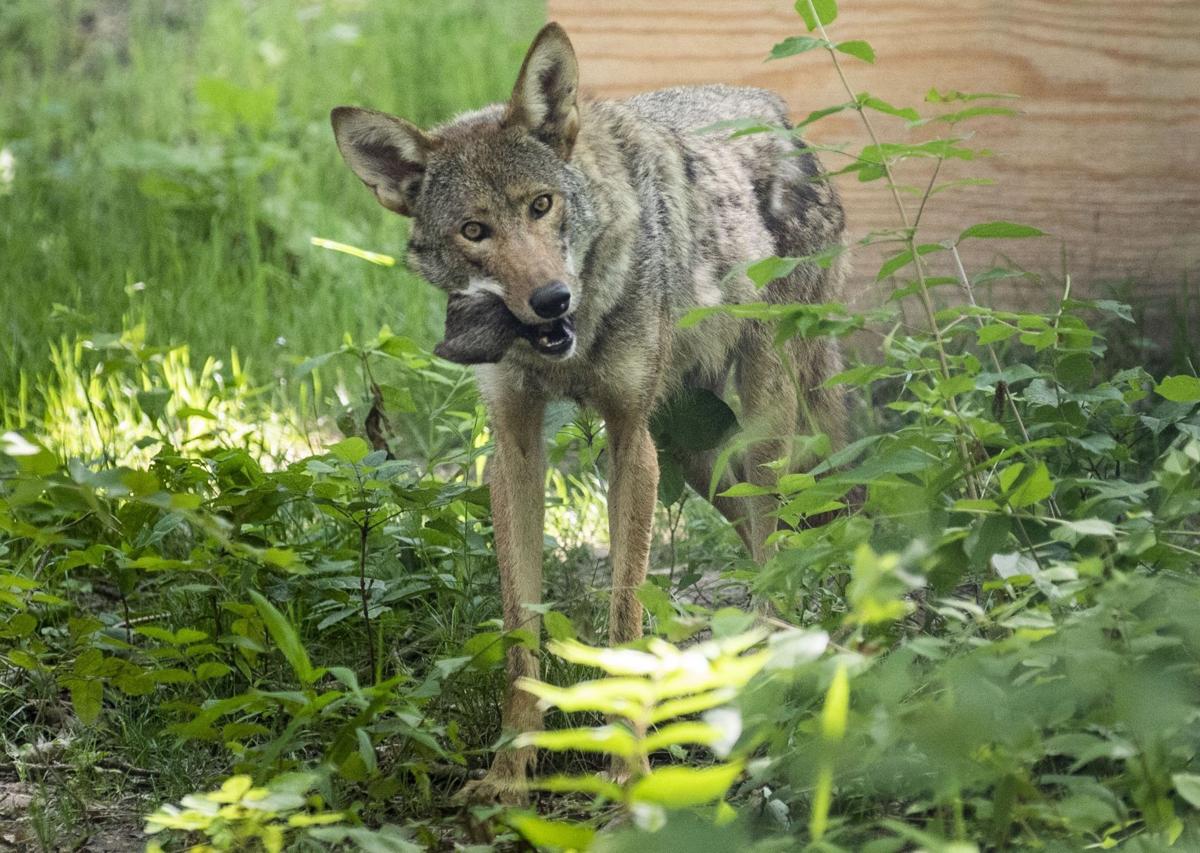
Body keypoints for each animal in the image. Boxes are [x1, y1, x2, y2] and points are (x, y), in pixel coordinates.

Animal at [331, 22, 847, 803]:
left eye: (541, 205)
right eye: (475, 230)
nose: (551, 299)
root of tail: (780, 114)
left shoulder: (629, 442)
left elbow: (623, 620)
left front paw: (629, 773)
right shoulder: (517, 450)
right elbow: (521, 632)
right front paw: (509, 772)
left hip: (763, 434)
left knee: (784, 556)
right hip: (698, 451)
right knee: (766, 552)